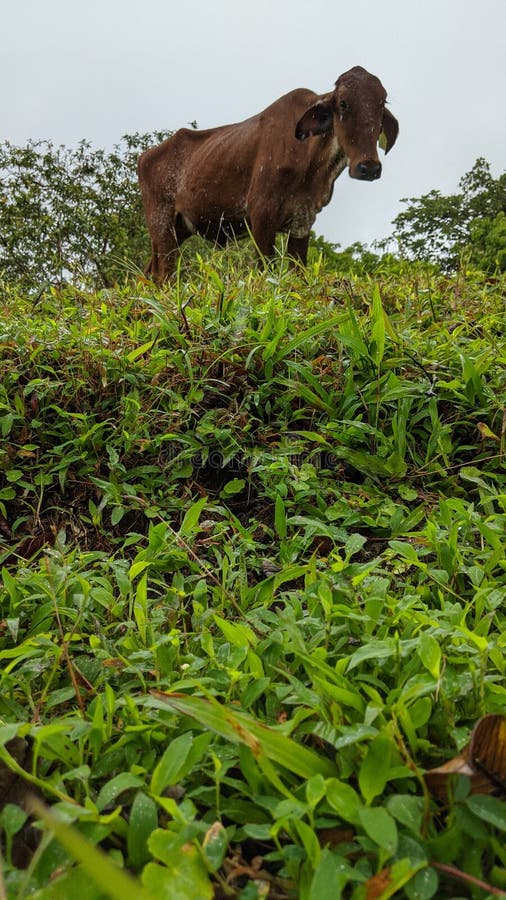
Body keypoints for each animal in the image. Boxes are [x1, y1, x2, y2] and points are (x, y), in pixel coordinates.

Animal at [138, 66, 398, 282]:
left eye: (382, 102)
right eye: (343, 103)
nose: (369, 167)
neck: (310, 159)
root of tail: (145, 157)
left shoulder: (303, 220)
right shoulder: (261, 215)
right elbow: (265, 270)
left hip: (178, 229)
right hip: (161, 224)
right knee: (163, 274)